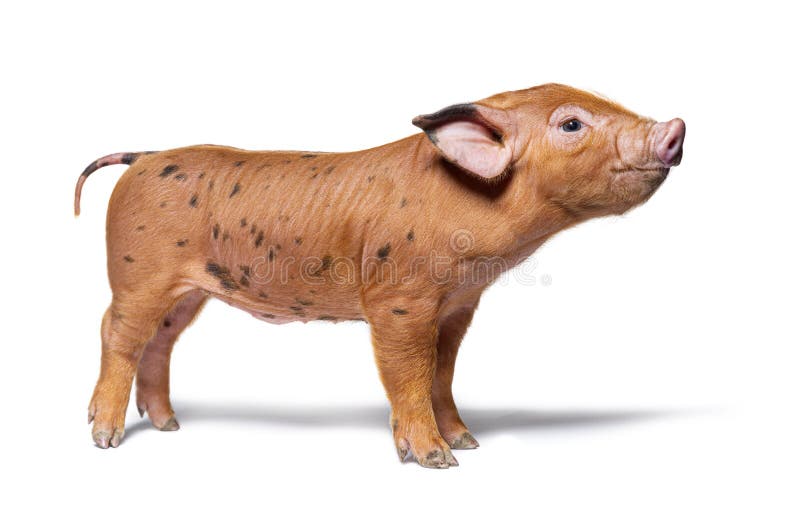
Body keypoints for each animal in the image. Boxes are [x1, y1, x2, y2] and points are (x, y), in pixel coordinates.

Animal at [74, 83, 685, 468]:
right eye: (571, 123)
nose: (675, 126)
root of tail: (144, 157)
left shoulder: (459, 305)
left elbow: (442, 372)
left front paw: (469, 442)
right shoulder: (398, 300)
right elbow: (407, 375)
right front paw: (438, 460)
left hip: (189, 292)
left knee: (160, 341)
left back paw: (169, 426)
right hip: (138, 273)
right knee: (115, 333)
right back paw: (105, 439)